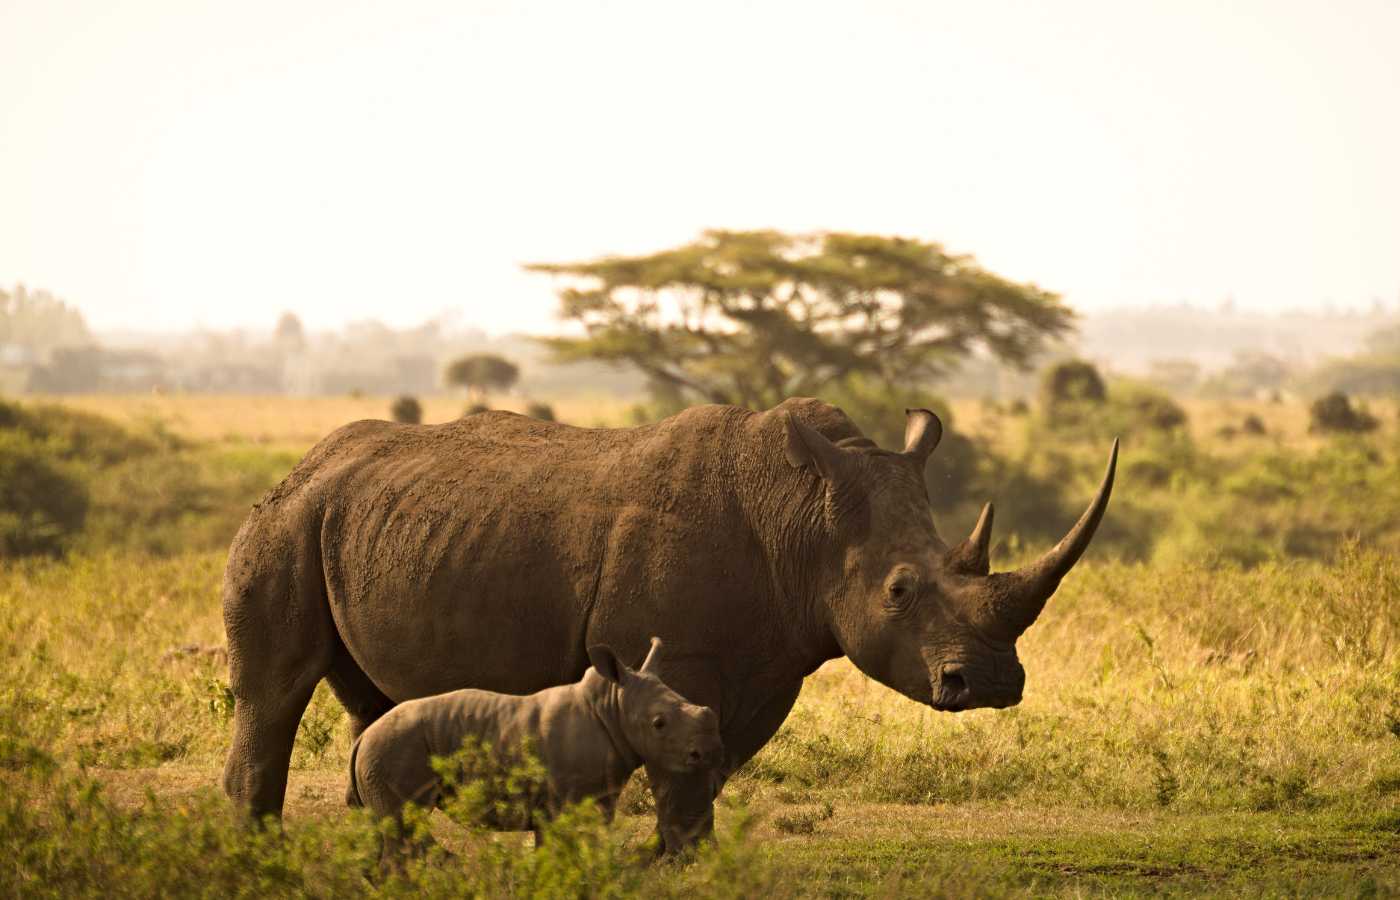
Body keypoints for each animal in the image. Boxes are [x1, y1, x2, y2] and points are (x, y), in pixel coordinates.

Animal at [348, 637, 721, 861]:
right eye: (659, 724)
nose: (707, 753)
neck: (612, 707)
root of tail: (362, 740)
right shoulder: (565, 801)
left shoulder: (588, 799)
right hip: (392, 750)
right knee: (402, 829)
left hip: (385, 752)